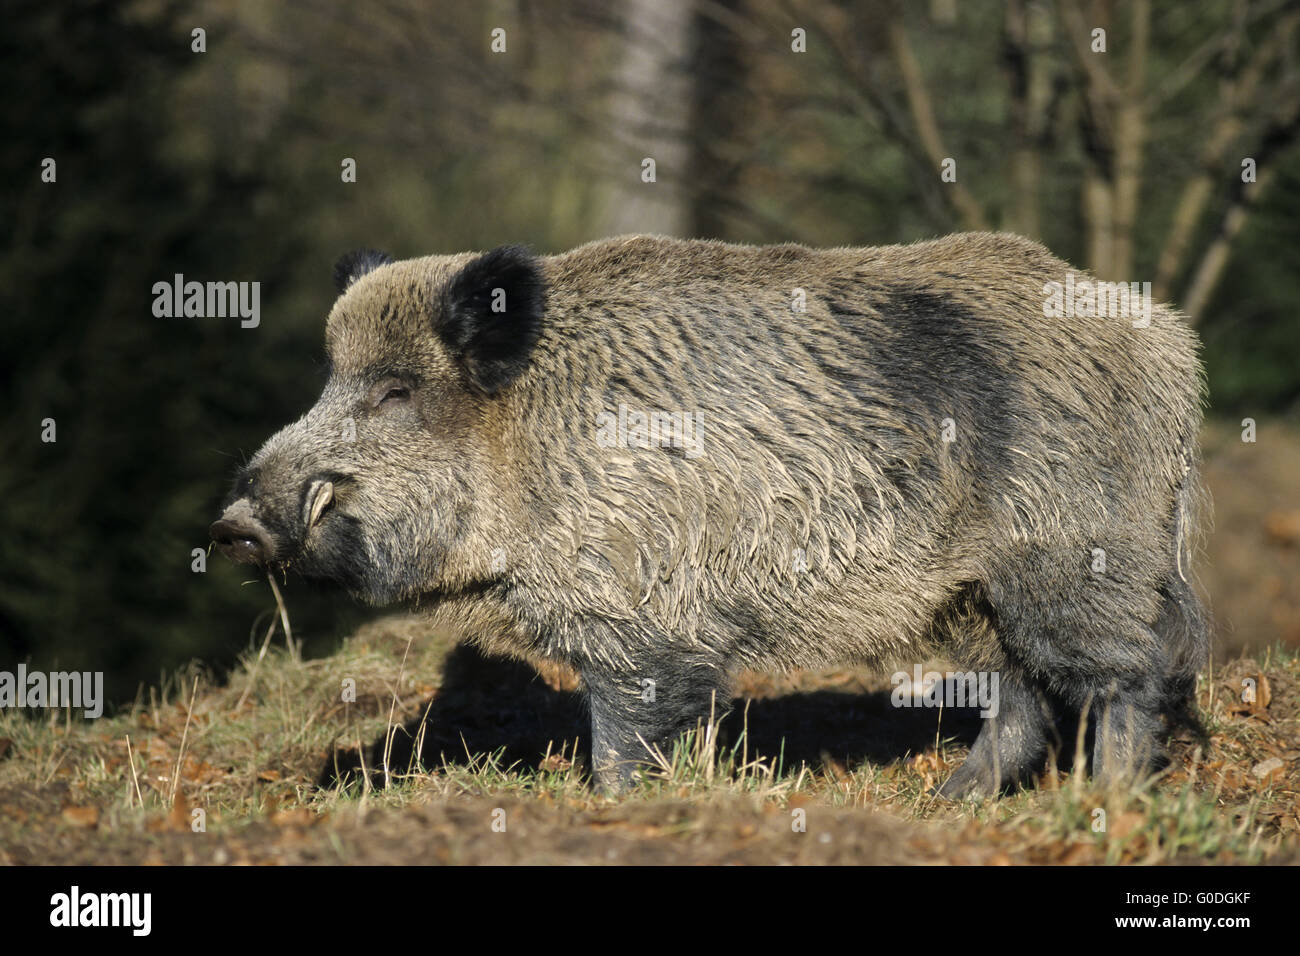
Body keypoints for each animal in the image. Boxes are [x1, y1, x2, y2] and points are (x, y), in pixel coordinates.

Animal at [211, 233, 1209, 796]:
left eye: (394, 391)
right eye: (330, 381)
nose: (232, 524)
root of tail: (1170, 345)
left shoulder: (643, 615)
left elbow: (623, 738)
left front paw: (618, 809)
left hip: (1074, 554)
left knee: (1125, 675)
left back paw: (1109, 805)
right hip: (976, 593)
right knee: (1023, 693)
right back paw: (948, 803)